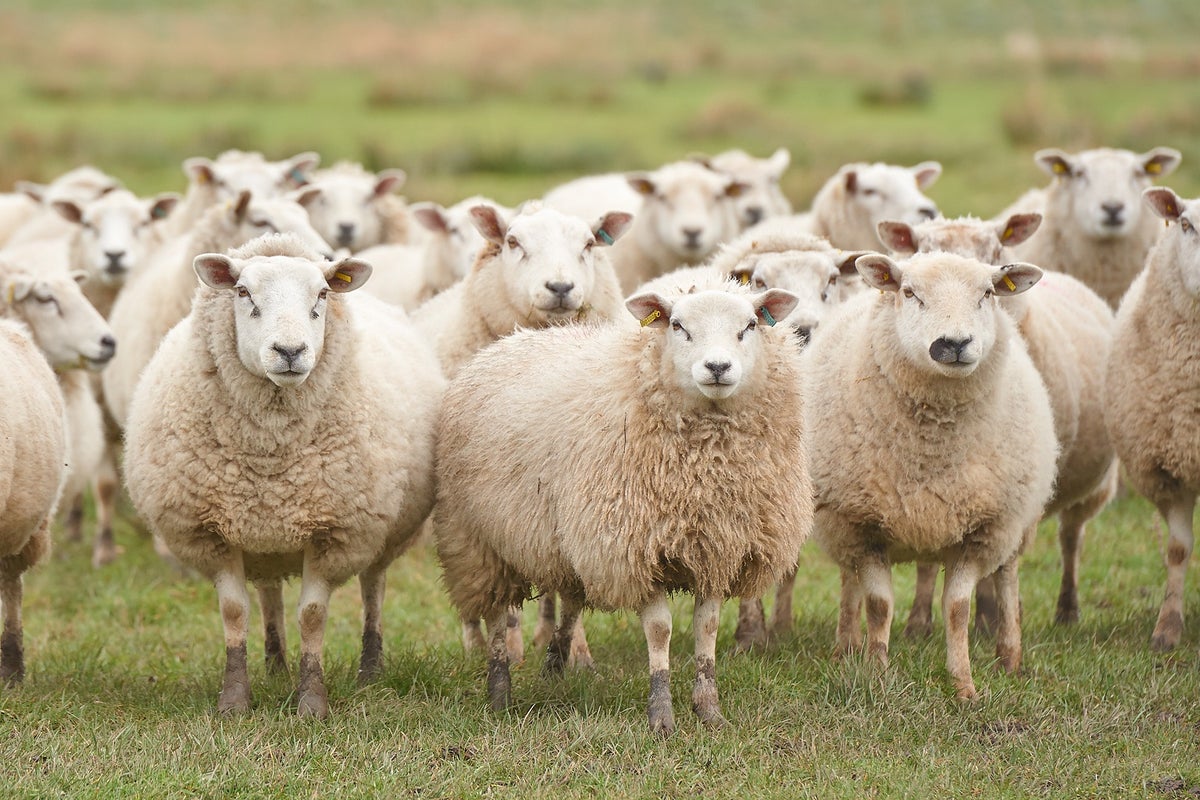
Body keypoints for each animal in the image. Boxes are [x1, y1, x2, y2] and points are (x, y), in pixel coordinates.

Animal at [122, 234, 443, 716]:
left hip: (380, 531)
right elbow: (235, 612)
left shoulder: (336, 532)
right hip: (262, 537)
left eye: (323, 295)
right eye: (242, 293)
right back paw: (275, 666)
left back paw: (370, 670)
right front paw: (235, 698)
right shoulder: (213, 531)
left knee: (373, 587)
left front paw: (311, 701)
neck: (270, 457)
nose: (290, 352)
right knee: (270, 593)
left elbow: (312, 616)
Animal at [434, 284, 809, 734]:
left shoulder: (717, 547)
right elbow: (660, 631)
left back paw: (555, 666)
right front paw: (661, 715)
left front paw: (709, 710)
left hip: (567, 541)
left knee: (571, 599)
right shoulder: (636, 548)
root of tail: (508, 342)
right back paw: (499, 691)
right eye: (678, 325)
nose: (718, 367)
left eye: (750, 325)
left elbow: (707, 629)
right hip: (478, 540)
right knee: (495, 616)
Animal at [806, 252, 1057, 700]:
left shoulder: (982, 530)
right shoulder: (862, 525)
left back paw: (1009, 658)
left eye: (988, 293)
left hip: (1017, 522)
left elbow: (957, 609)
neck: (931, 448)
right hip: (841, 523)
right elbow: (879, 605)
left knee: (1008, 578)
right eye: (909, 293)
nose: (954, 344)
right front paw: (877, 675)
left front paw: (964, 687)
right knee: (849, 581)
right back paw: (844, 649)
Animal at [877, 214, 1118, 636]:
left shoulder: (1015, 483)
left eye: (993, 254)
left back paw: (1066, 610)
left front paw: (992, 618)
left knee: (1070, 538)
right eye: (921, 252)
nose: (954, 340)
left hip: (1088, 484)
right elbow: (927, 559)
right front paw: (919, 622)